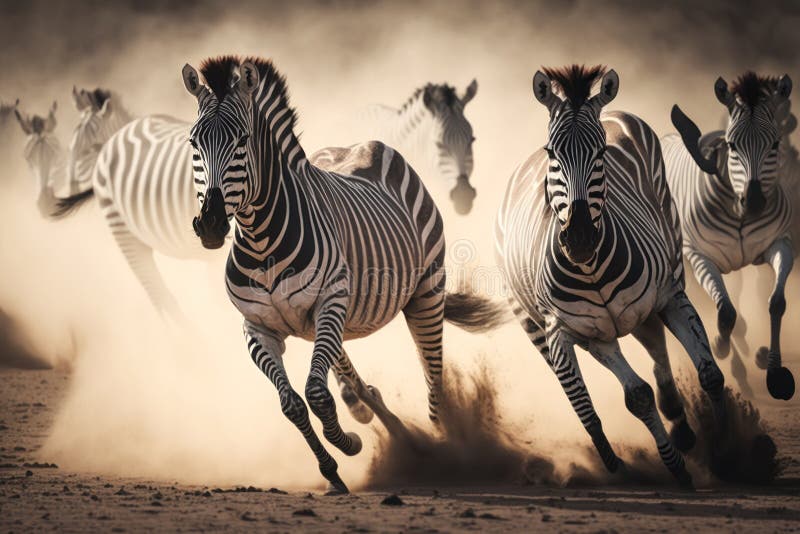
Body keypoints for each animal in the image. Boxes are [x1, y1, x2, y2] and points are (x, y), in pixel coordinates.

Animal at [495, 65, 727, 487]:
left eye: (602, 153)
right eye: (552, 153)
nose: (580, 239)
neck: (591, 270)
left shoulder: (670, 296)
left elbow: (709, 374)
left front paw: (728, 453)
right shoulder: (574, 334)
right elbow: (627, 397)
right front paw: (667, 465)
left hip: (665, 275)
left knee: (658, 346)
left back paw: (682, 425)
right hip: (546, 328)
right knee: (644, 360)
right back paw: (674, 429)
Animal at [664, 72, 795, 401]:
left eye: (775, 143)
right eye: (732, 146)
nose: (755, 202)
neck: (739, 212)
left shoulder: (780, 243)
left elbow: (776, 302)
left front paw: (776, 374)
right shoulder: (699, 255)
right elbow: (725, 313)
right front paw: (720, 347)